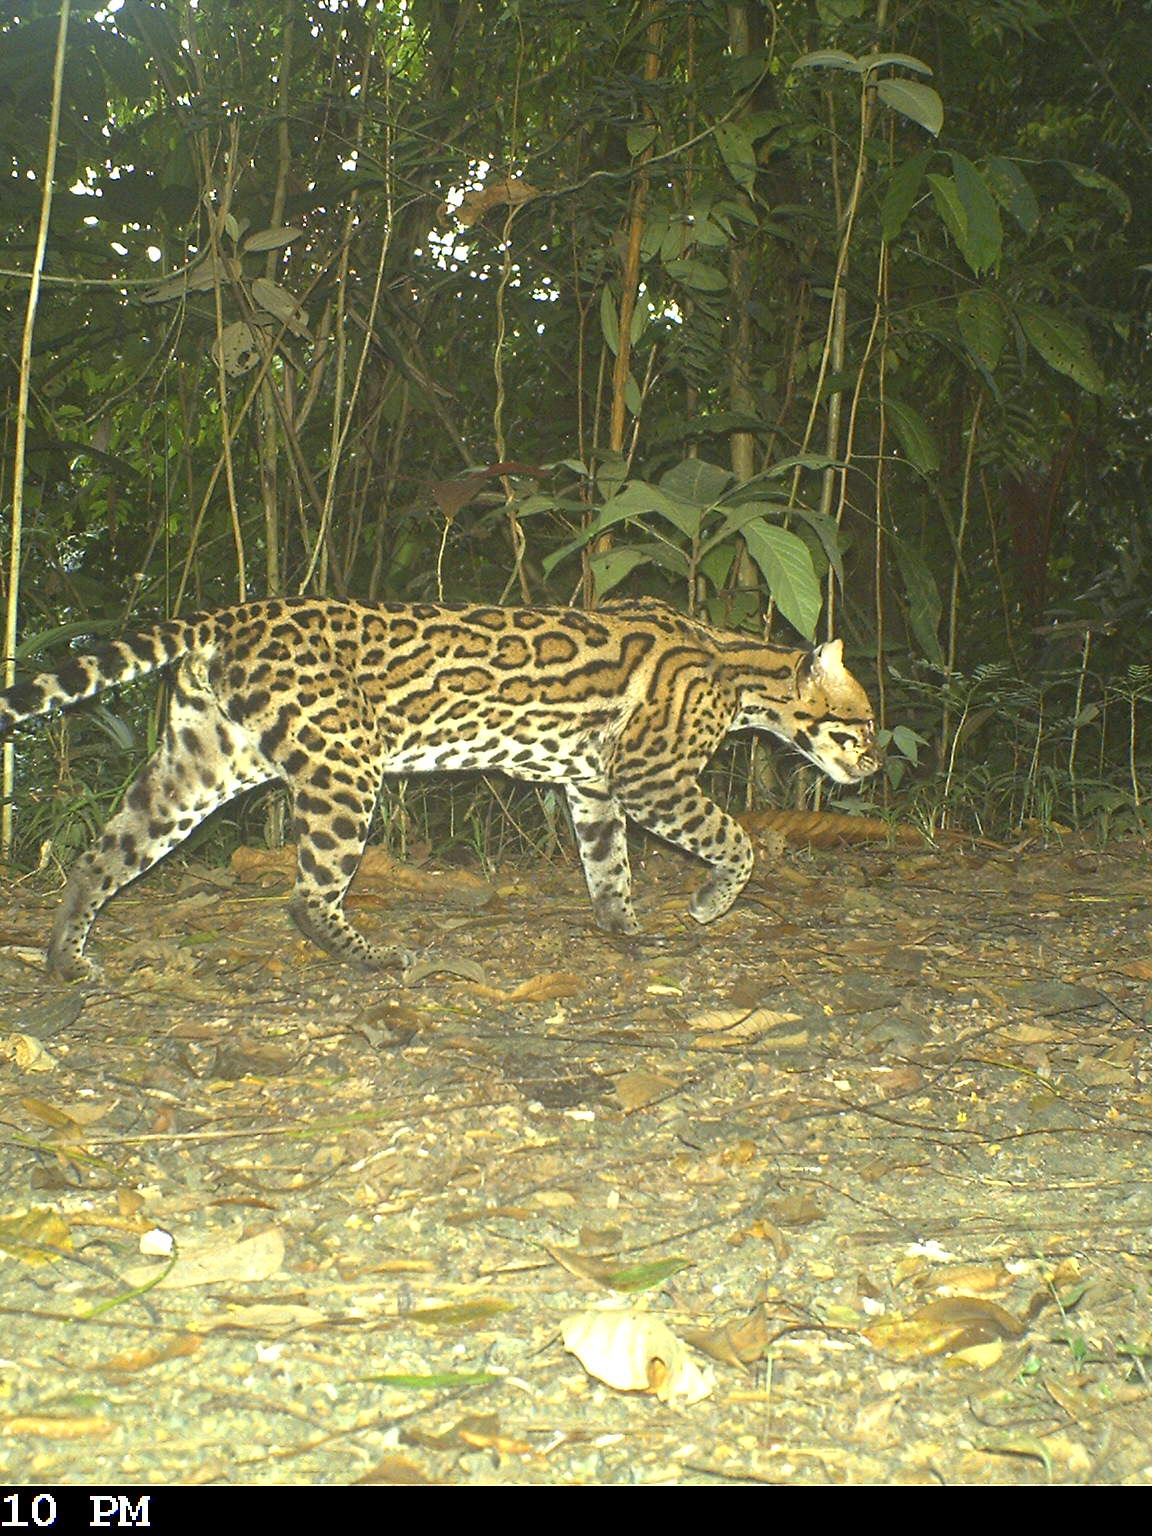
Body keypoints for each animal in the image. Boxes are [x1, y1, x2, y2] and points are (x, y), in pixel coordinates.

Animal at [0, 596, 882, 979]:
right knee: (306, 895)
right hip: (343, 765)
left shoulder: (594, 785)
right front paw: (707, 905)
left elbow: (608, 866)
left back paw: (64, 955)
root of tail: (233, 614)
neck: (738, 669)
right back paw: (375, 958)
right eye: (864, 724)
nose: (877, 767)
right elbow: (736, 843)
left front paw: (624, 929)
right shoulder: (650, 775)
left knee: (99, 856)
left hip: (204, 761)